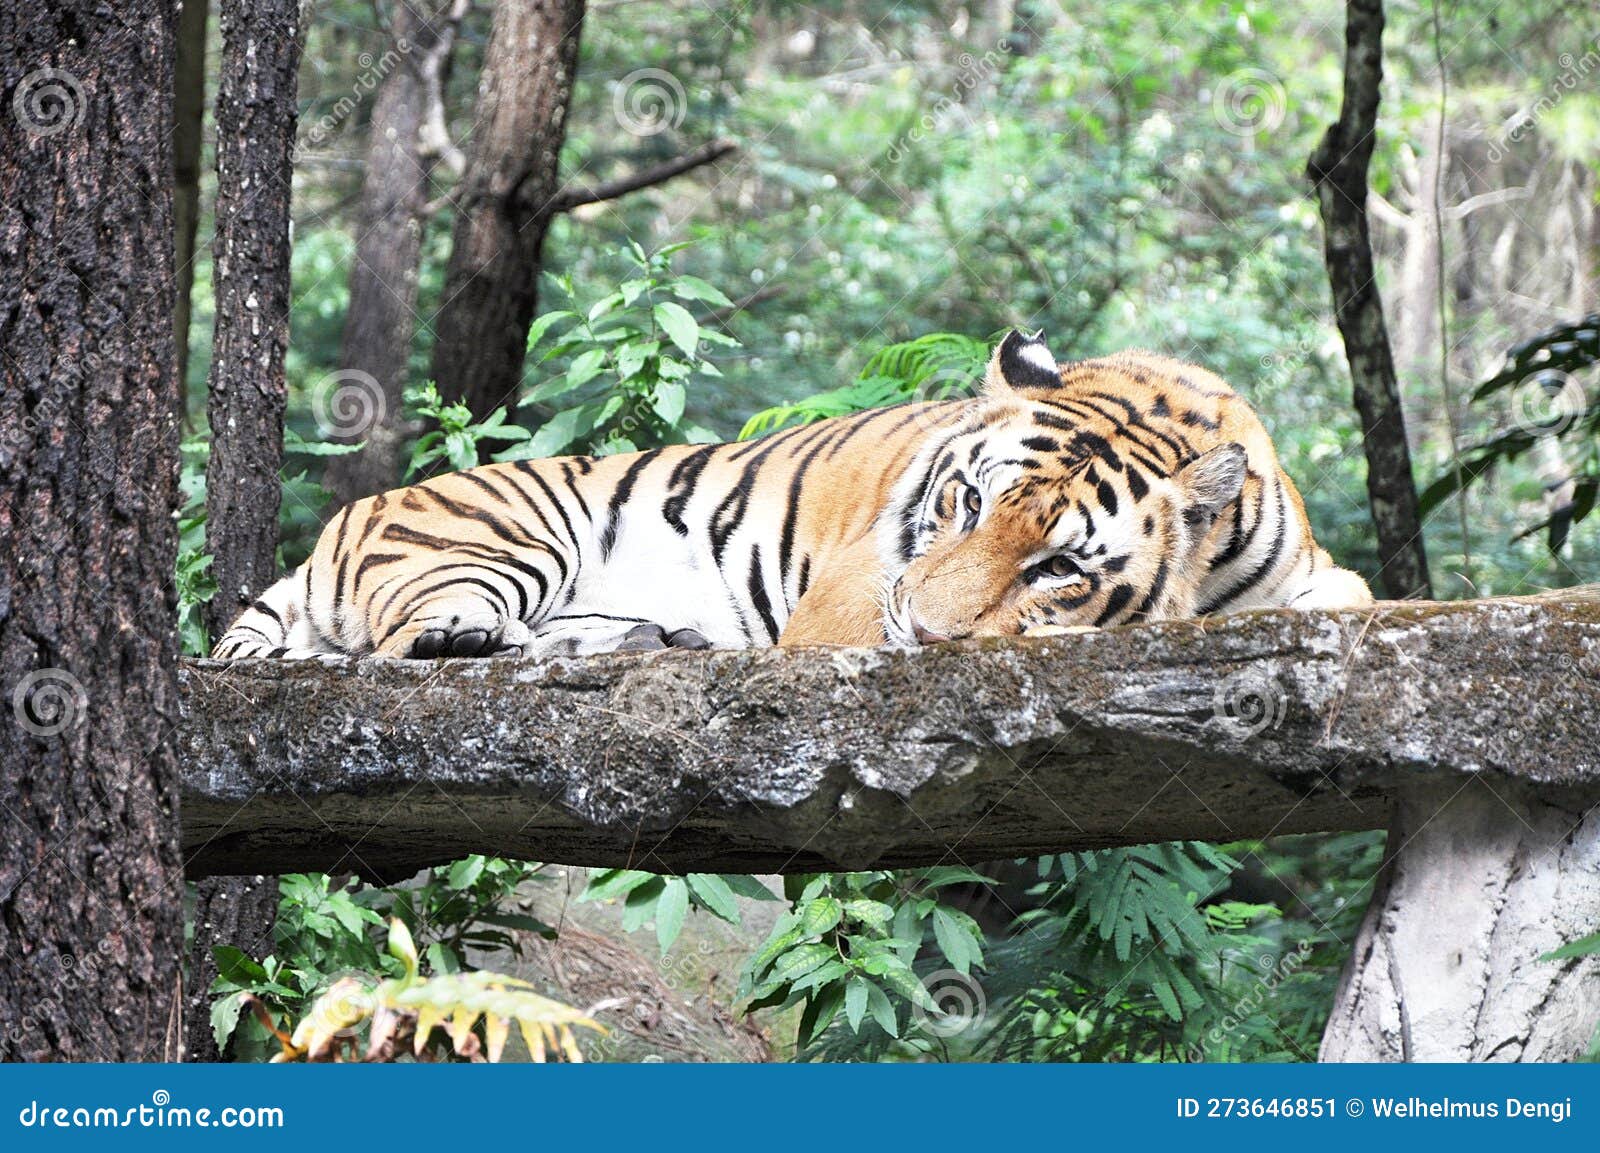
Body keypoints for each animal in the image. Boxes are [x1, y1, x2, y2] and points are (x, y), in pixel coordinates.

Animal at [211, 330, 1372, 661]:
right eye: (962, 505)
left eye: (1057, 567)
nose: (920, 633)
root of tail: (330, 531)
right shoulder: (849, 598)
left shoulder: (1320, 580)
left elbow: (1348, 598)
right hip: (503, 535)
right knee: (400, 638)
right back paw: (467, 638)